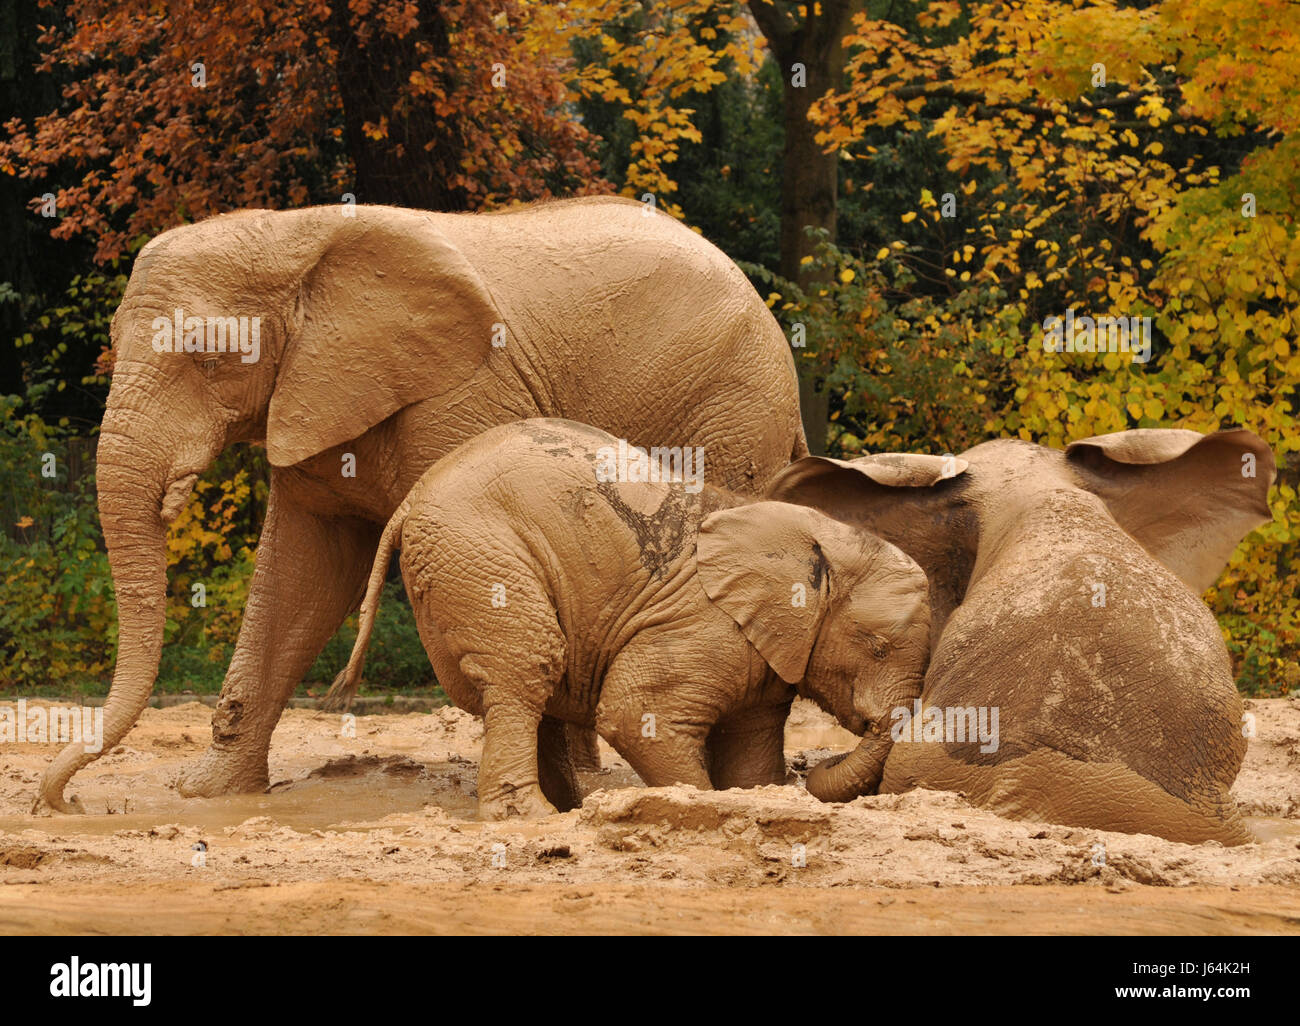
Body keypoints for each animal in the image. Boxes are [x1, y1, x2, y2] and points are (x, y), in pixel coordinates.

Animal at [37, 196, 809, 812]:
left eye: (207, 356)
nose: (65, 802)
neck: (296, 234)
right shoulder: (314, 392)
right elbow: (304, 573)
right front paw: (211, 796)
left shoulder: (462, 391)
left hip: (734, 407)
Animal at [325, 419, 933, 819]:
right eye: (876, 646)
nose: (814, 770)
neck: (821, 538)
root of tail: (409, 501)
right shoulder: (703, 625)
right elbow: (636, 713)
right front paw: (698, 804)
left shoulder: (765, 651)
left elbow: (751, 747)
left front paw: (758, 797)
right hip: (481, 559)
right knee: (524, 673)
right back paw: (537, 820)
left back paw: (567, 811)